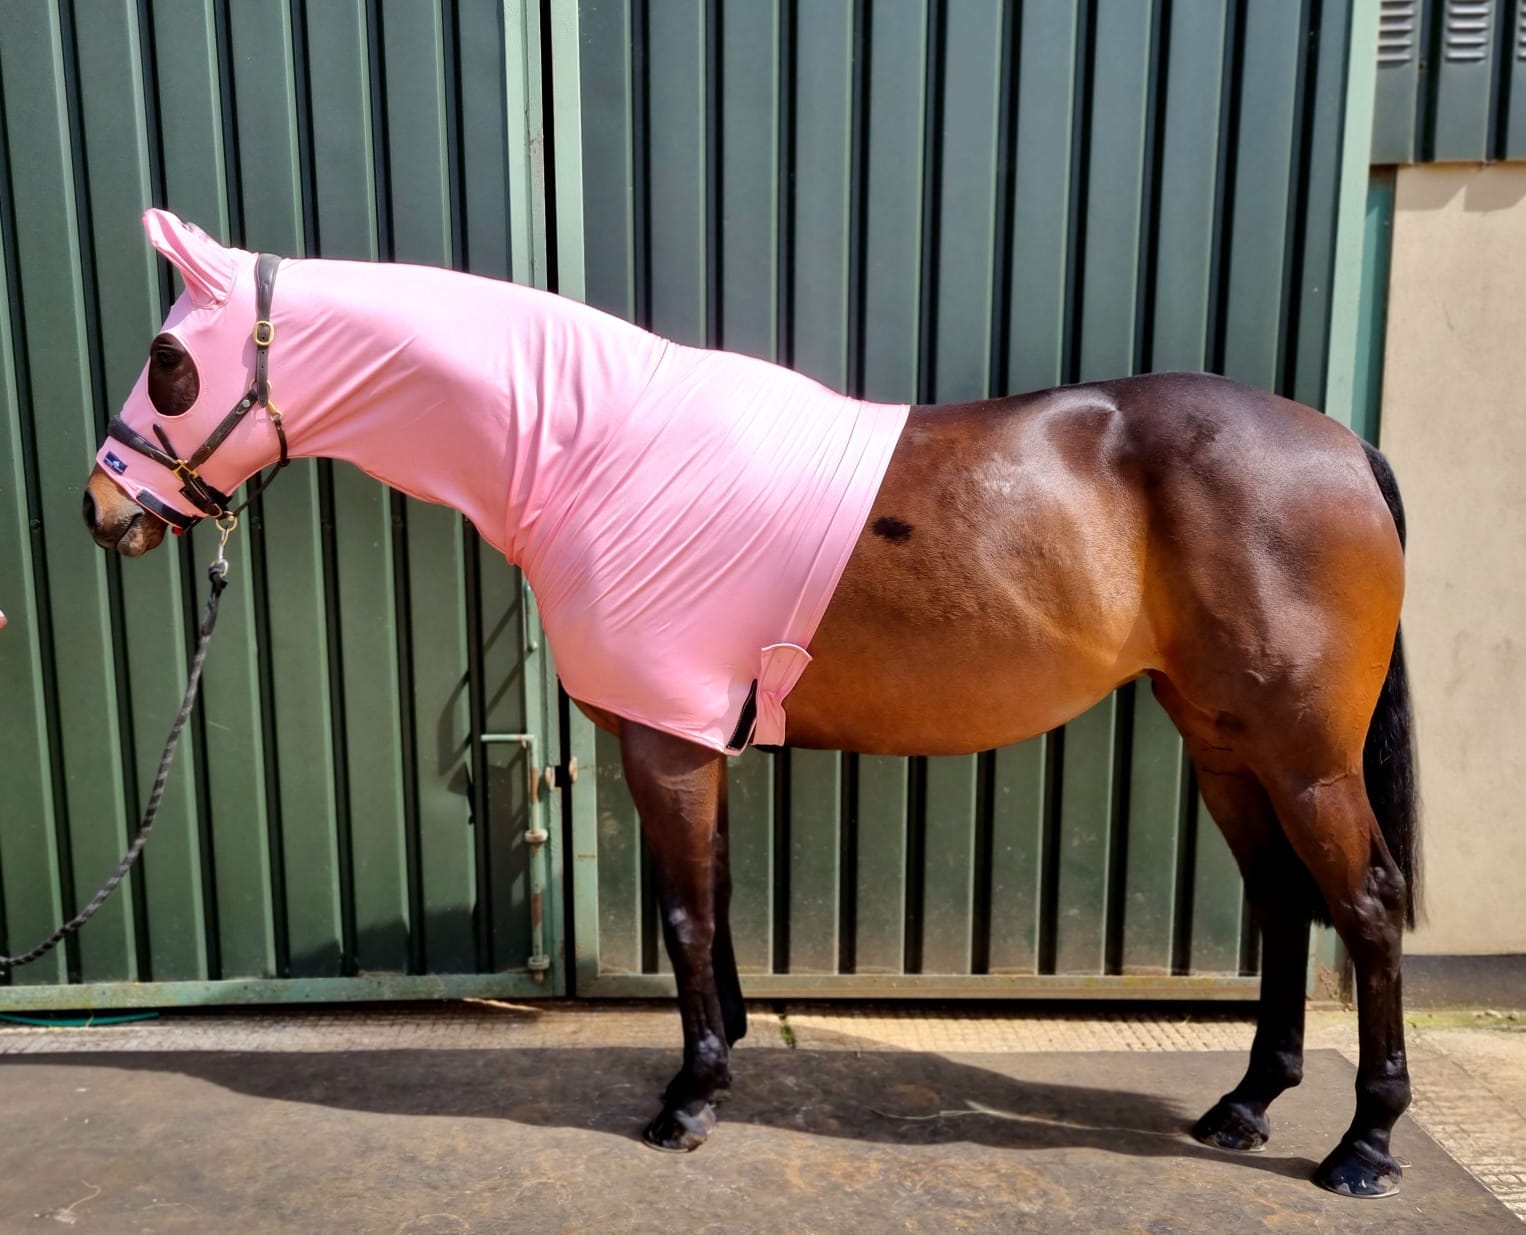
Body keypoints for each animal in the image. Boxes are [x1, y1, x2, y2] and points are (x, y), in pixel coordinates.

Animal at [84, 210, 1418, 1198]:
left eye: (168, 362)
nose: (104, 511)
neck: (596, 444)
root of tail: (1342, 447)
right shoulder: (695, 739)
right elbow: (715, 902)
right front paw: (717, 1062)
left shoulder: (664, 740)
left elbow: (683, 913)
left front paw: (685, 1098)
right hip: (1225, 746)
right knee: (1286, 906)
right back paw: (1243, 1104)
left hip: (1302, 757)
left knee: (1362, 906)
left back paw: (1360, 1145)